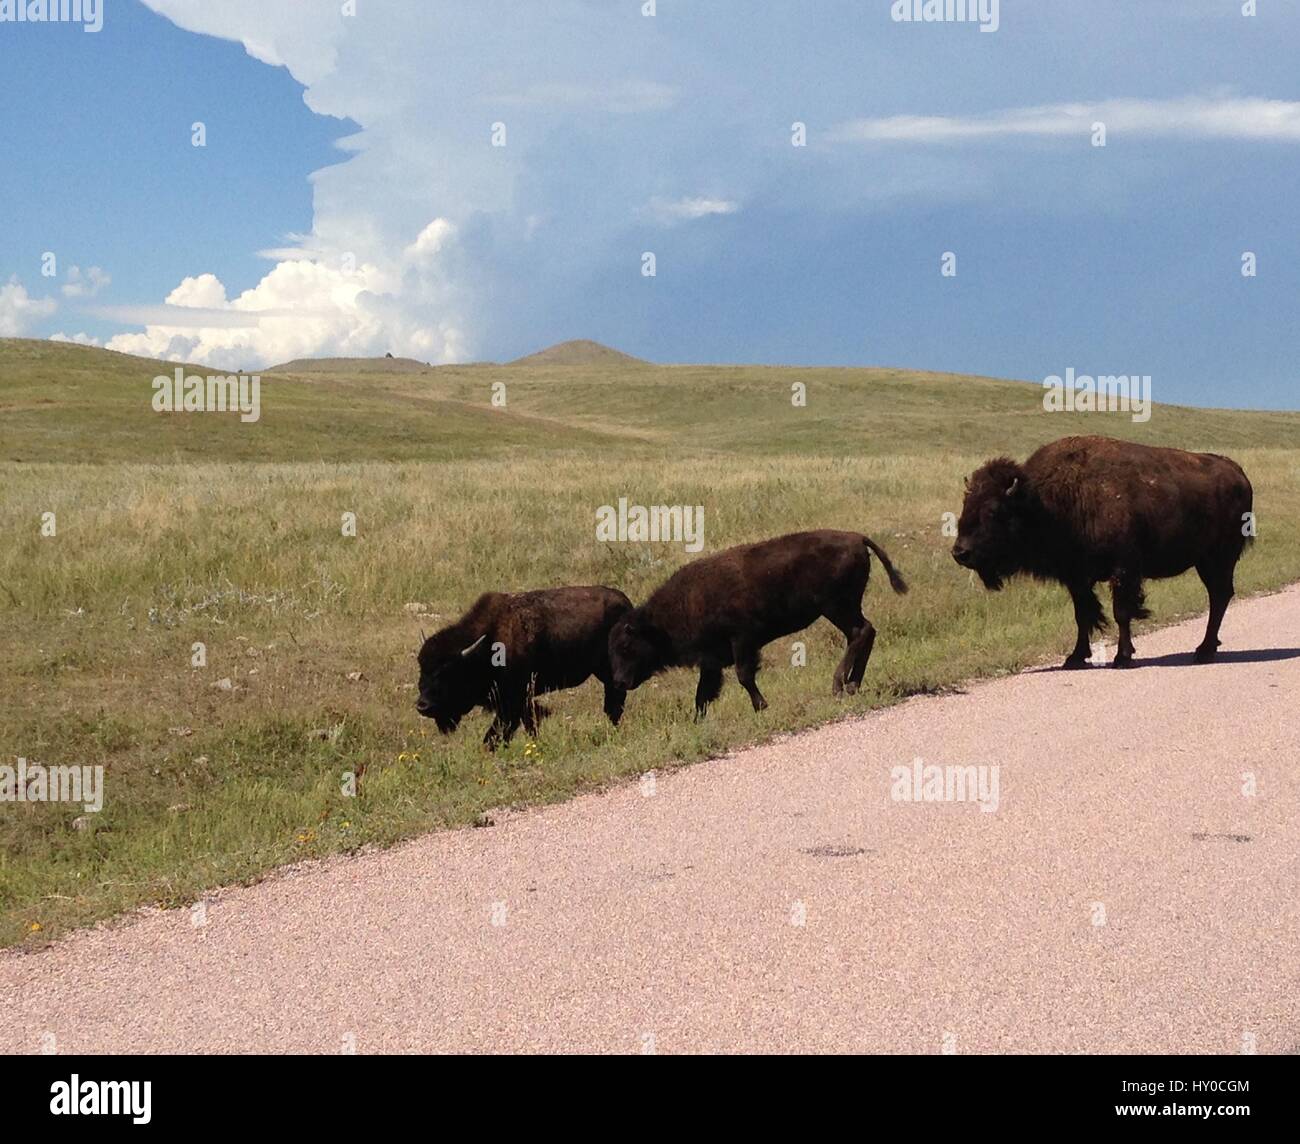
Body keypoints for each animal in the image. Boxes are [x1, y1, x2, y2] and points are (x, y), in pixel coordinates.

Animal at [416, 586, 632, 747]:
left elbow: (498, 732)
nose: (422, 705)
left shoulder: (512, 700)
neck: (489, 642)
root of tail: (625, 602)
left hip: (608, 671)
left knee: (614, 701)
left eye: (446, 671)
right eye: (421, 668)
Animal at [607, 530, 908, 716]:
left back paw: (838, 686)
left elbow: (743, 676)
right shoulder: (712, 660)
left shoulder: (742, 641)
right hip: (843, 609)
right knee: (865, 632)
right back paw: (852, 685)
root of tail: (856, 538)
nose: (619, 681)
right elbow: (703, 694)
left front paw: (761, 707)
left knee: (860, 632)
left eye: (626, 646)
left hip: (836, 608)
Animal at [952, 435, 1253, 667]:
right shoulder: (1076, 578)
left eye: (993, 510)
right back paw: (1207, 648)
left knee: (1219, 596)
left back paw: (1203, 651)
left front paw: (1122, 657)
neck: (1044, 502)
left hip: (1219, 558)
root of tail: (1237, 472)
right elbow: (1082, 615)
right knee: (1220, 596)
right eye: (966, 504)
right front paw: (1075, 657)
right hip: (1208, 561)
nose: (960, 552)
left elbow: (1121, 612)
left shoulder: (1123, 570)